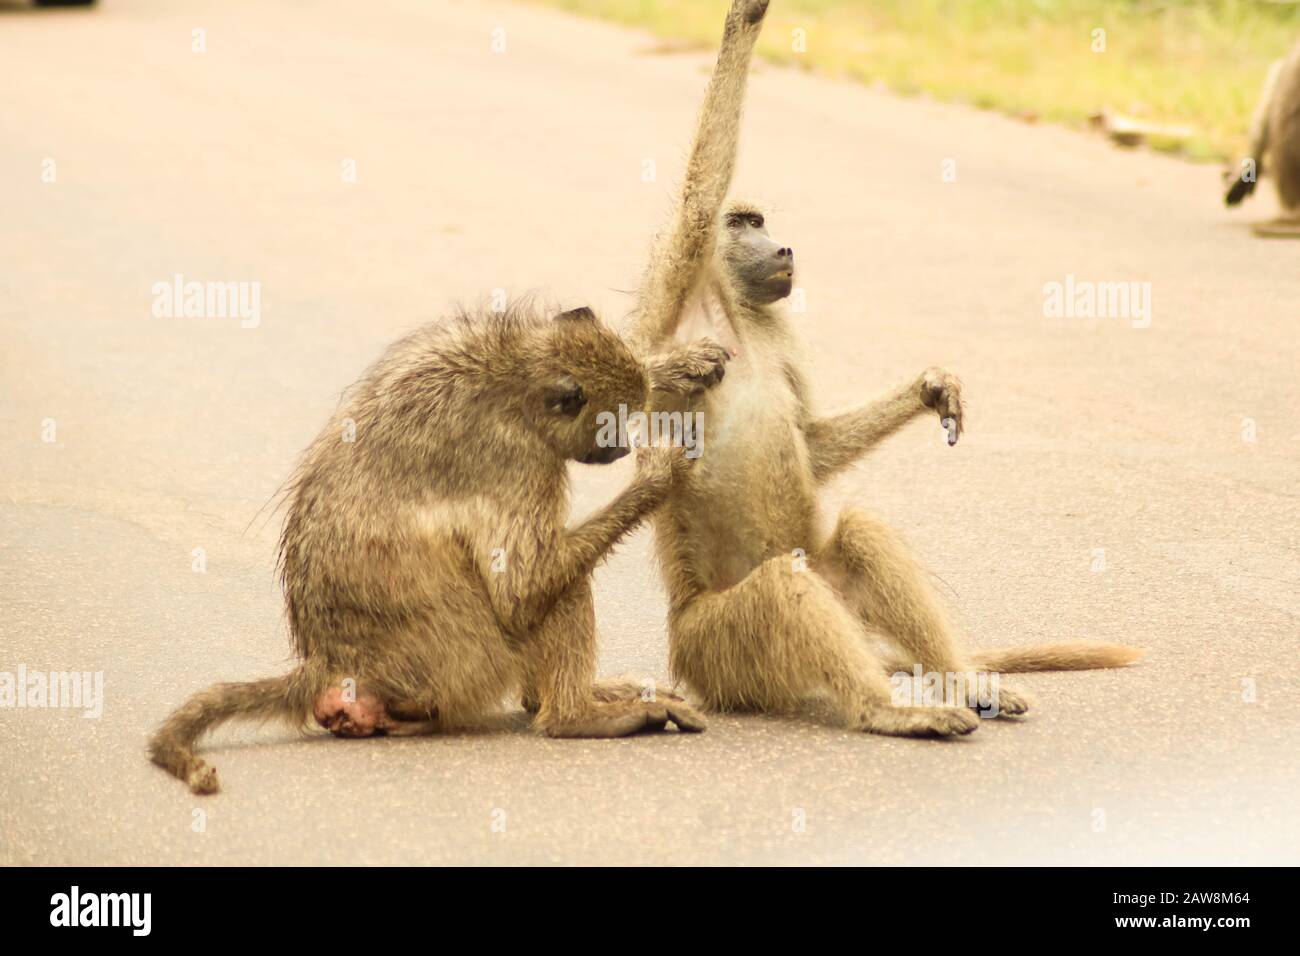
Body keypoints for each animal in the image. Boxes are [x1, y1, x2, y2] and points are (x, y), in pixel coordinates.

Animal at [148, 303, 720, 794]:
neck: (514, 372)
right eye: (611, 422)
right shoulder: (518, 460)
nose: (620, 447)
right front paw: (658, 474)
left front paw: (678, 365)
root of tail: (332, 661)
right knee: (558, 591)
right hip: (468, 664)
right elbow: (522, 590)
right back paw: (574, 715)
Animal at [628, 0, 1141, 737]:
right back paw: (891, 711)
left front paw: (929, 390)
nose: (784, 248)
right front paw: (744, 18)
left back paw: (963, 683)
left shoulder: (778, 332)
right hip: (721, 649)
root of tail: (689, 667)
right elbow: (695, 210)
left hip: (816, 595)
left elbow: (812, 445)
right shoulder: (675, 269)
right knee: (785, 588)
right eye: (746, 221)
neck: (732, 311)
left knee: (861, 536)